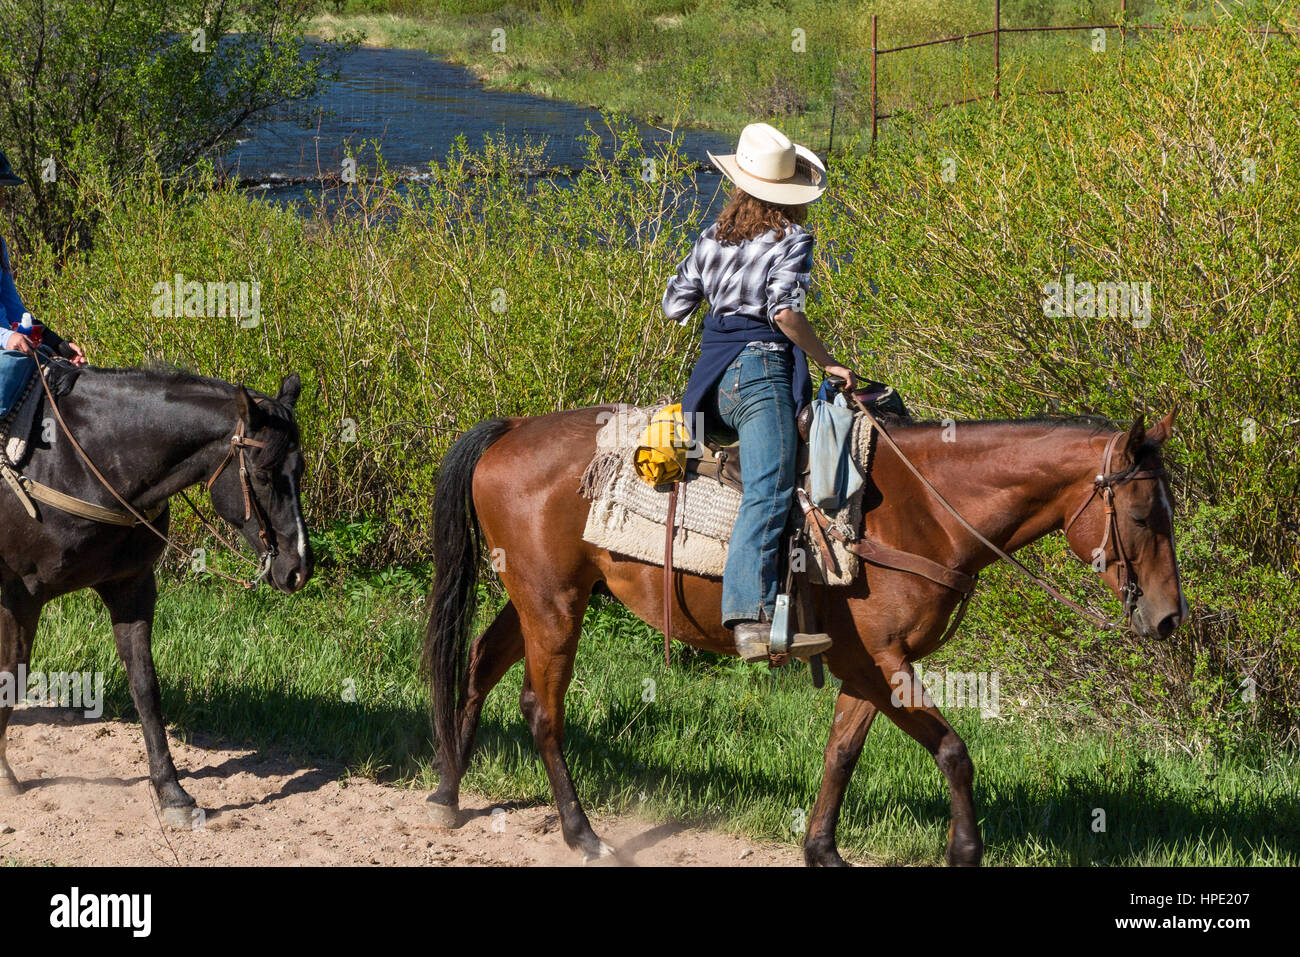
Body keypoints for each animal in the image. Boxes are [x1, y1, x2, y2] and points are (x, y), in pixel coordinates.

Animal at [0, 364, 313, 825]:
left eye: (300, 469)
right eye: (262, 474)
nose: (298, 568)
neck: (75, 462)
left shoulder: (132, 586)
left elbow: (145, 687)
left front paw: (171, 792)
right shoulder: (21, 593)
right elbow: (13, 673)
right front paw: (4, 773)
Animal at [423, 404, 1187, 865]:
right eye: (1144, 515)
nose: (1168, 617)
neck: (921, 513)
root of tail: (511, 429)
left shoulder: (867, 667)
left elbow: (841, 753)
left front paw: (822, 848)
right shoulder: (885, 662)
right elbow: (953, 750)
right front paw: (964, 850)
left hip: (539, 596)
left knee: (479, 664)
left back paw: (448, 795)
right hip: (553, 604)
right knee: (540, 709)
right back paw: (582, 833)